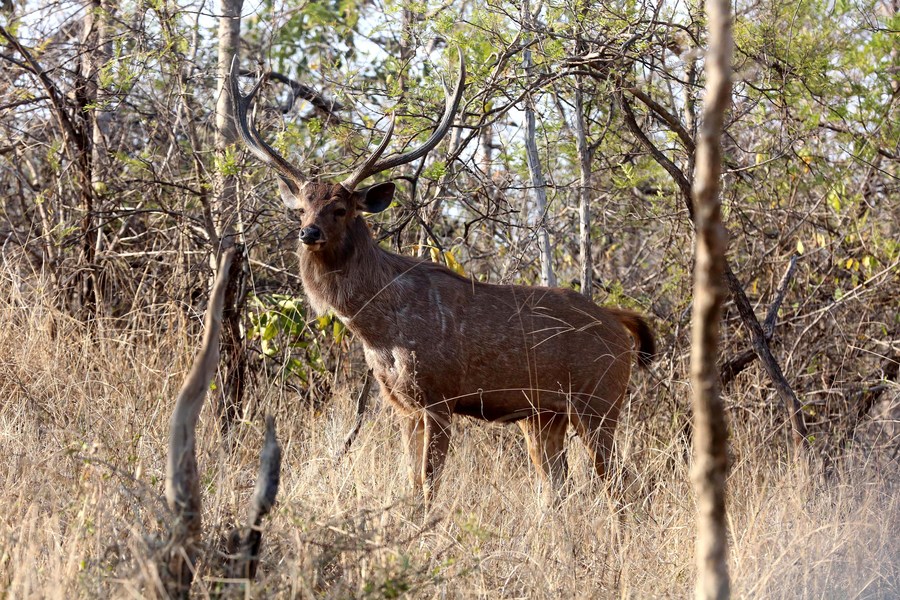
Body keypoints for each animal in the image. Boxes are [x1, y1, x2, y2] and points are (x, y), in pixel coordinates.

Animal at [230, 51, 655, 507]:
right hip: (544, 416)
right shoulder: (403, 405)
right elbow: (411, 481)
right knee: (560, 485)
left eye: (340, 209)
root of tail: (620, 323)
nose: (308, 233)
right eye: (301, 209)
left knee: (622, 482)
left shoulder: (439, 395)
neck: (379, 329)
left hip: (599, 401)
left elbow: (427, 484)